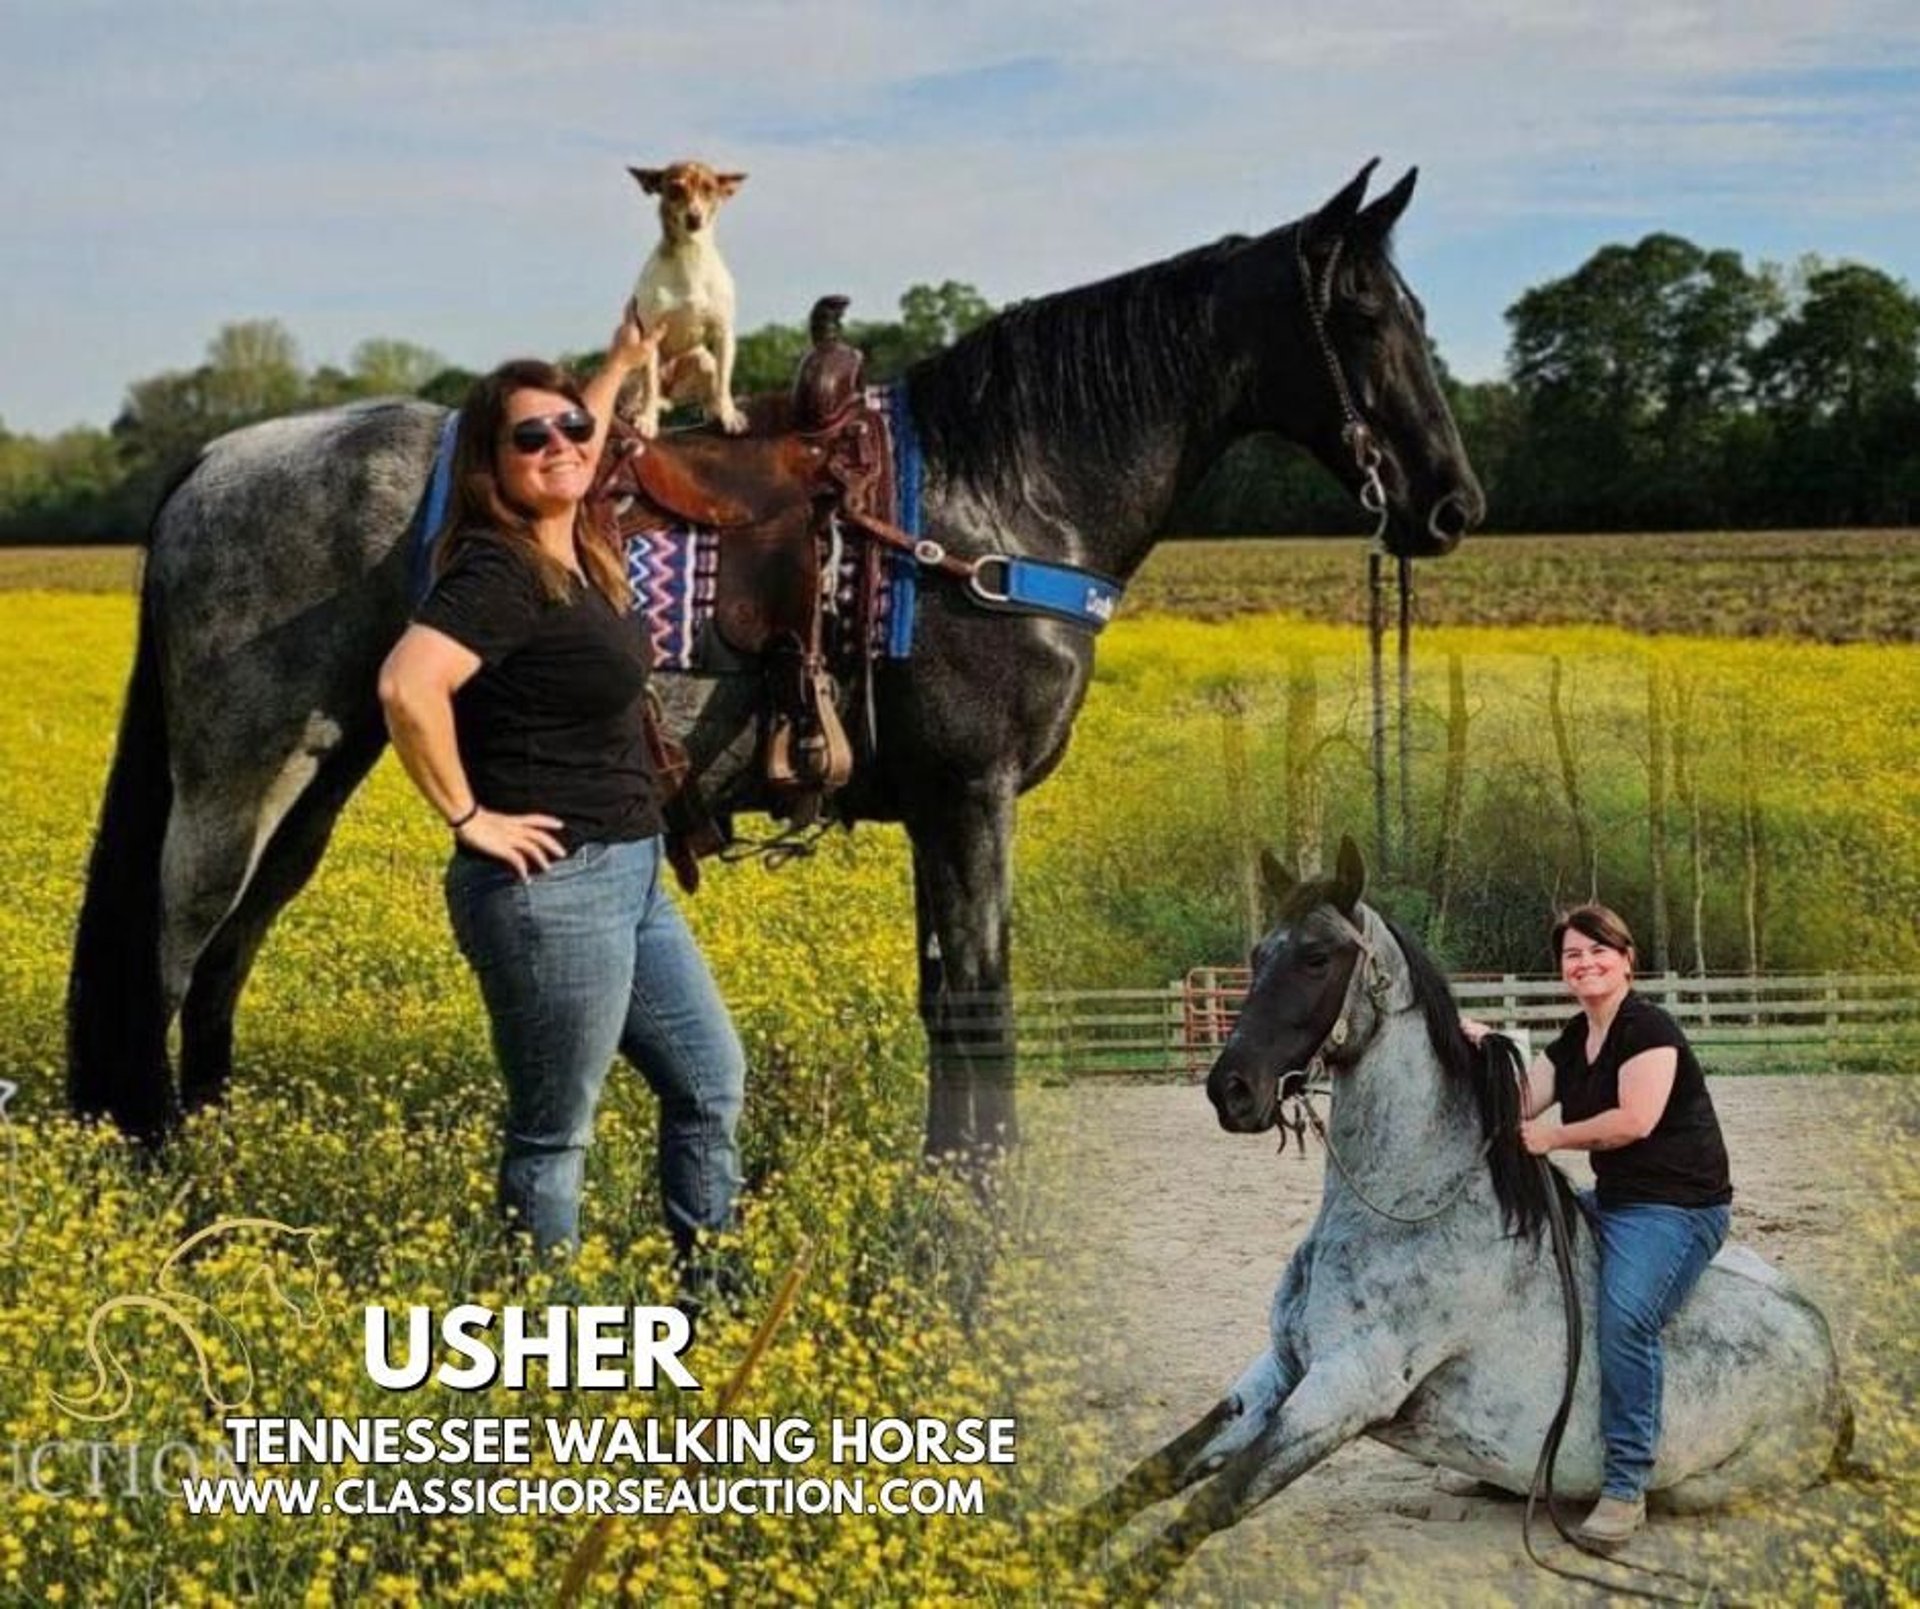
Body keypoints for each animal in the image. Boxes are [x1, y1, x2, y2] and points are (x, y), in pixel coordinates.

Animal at [67, 162, 1482, 1159]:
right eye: (1362, 312)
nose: (1451, 503)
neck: (996, 500)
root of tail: (220, 456)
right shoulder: (970, 803)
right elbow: (984, 1009)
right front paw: (988, 1213)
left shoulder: (937, 816)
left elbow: (946, 1008)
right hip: (238, 775)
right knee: (174, 948)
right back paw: (167, 1176)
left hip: (320, 772)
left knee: (232, 948)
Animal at [1068, 838, 1853, 1596]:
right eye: (1260, 954)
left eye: (1317, 957)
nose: (1230, 1089)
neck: (1404, 1211)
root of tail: (1834, 1378)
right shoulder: (1280, 1367)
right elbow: (1158, 1469)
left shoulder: (1342, 1389)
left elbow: (1215, 1501)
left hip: (1698, 1485)